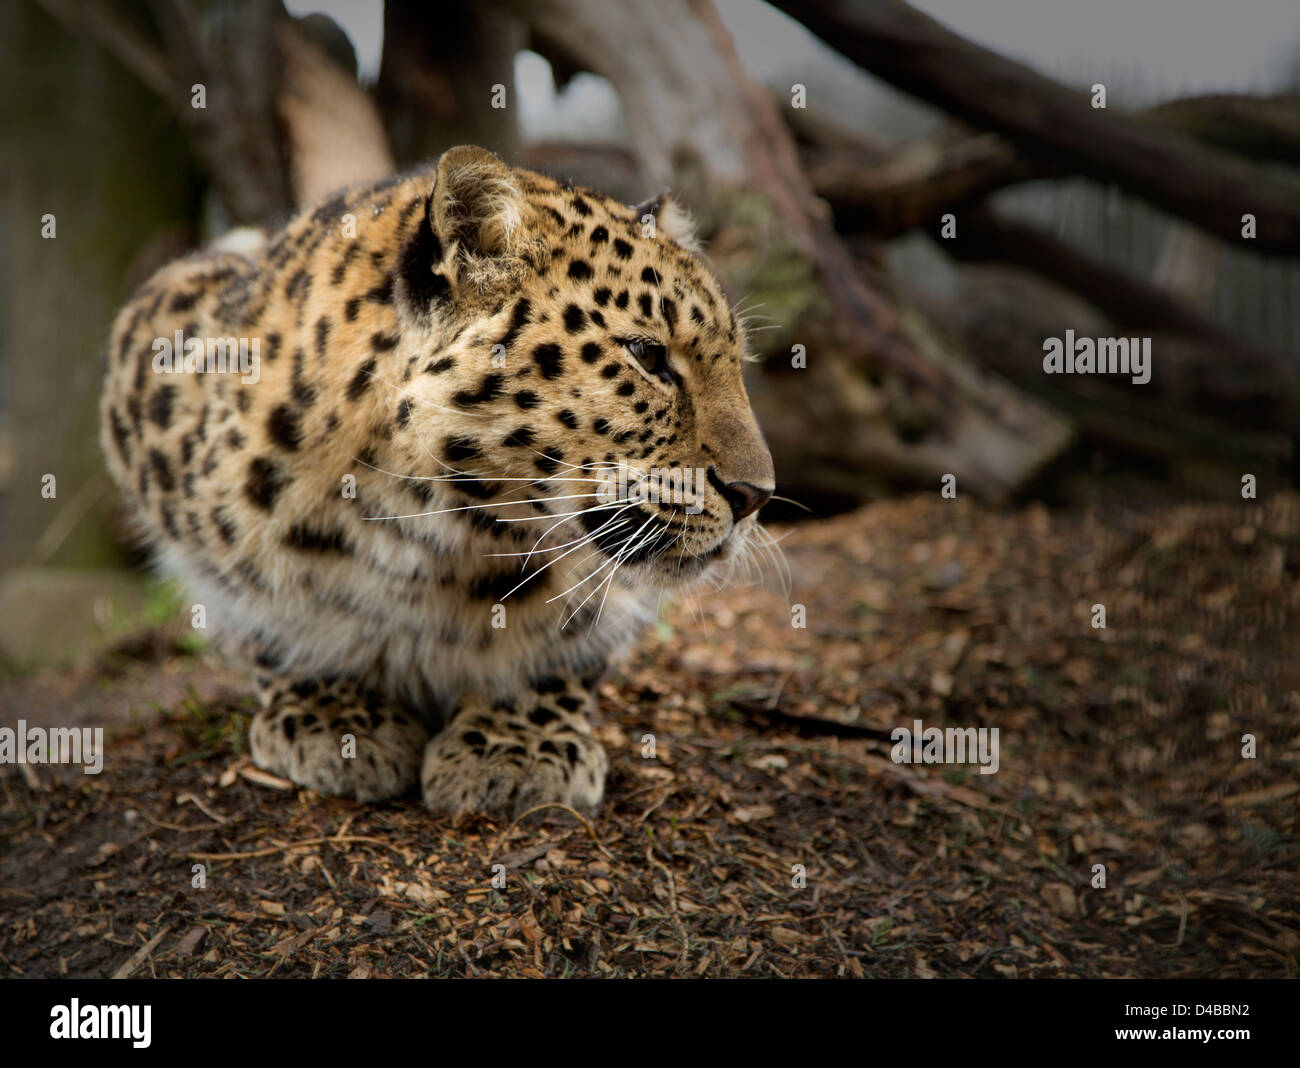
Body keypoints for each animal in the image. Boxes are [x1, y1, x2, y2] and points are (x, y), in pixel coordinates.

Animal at [99, 145, 775, 817]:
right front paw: (332, 708)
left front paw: (516, 741)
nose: (756, 497)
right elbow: (258, 623)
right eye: (647, 355)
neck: (434, 529)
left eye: (736, 363)